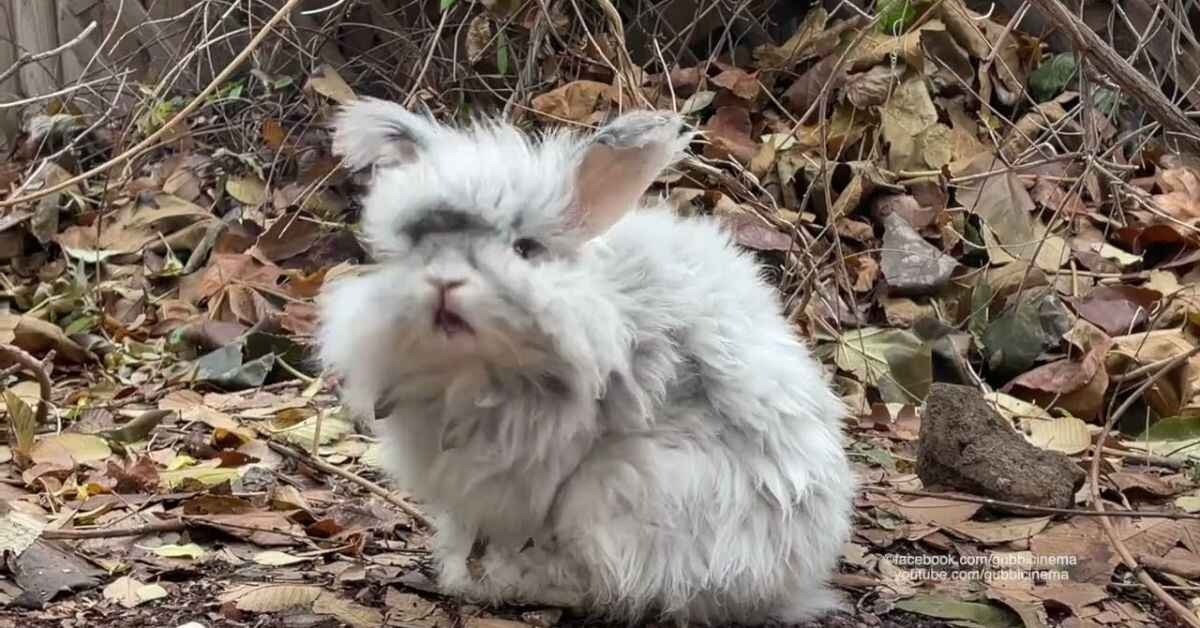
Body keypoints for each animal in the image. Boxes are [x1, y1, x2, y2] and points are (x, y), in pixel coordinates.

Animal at [317, 97, 855, 626]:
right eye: (416, 245)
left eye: (525, 248)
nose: (443, 283)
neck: (476, 370)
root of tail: (797, 581)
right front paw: (460, 568)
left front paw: (485, 575)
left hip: (622, 491)